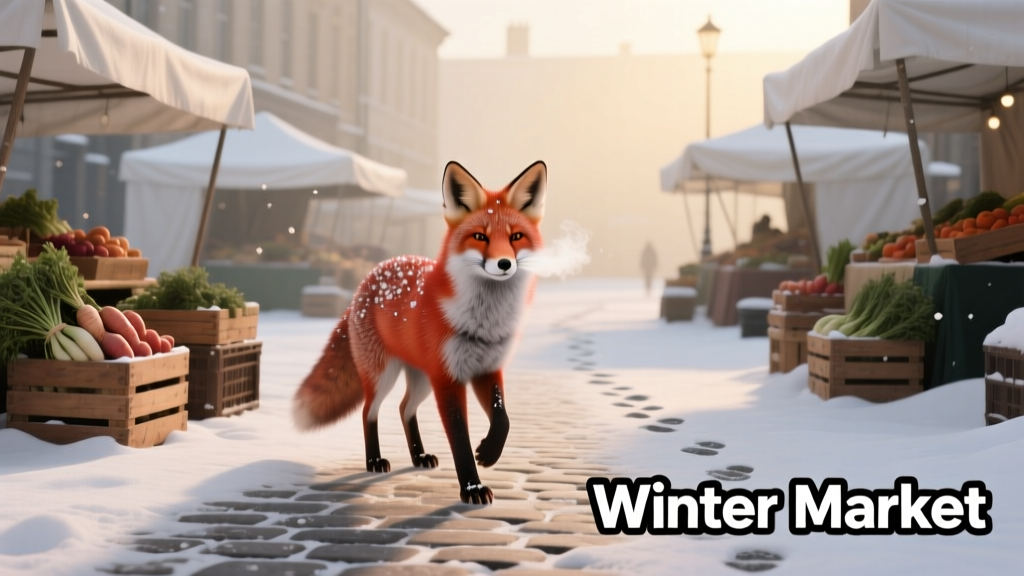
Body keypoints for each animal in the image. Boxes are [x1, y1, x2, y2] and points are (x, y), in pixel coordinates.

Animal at [293, 160, 547, 504]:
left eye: (516, 236)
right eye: (479, 237)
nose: (505, 263)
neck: (483, 320)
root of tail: (367, 278)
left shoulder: (487, 369)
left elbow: (503, 419)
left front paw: (489, 452)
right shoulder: (448, 378)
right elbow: (460, 438)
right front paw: (472, 487)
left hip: (421, 379)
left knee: (404, 409)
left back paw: (418, 456)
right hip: (385, 375)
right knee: (368, 412)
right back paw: (374, 460)